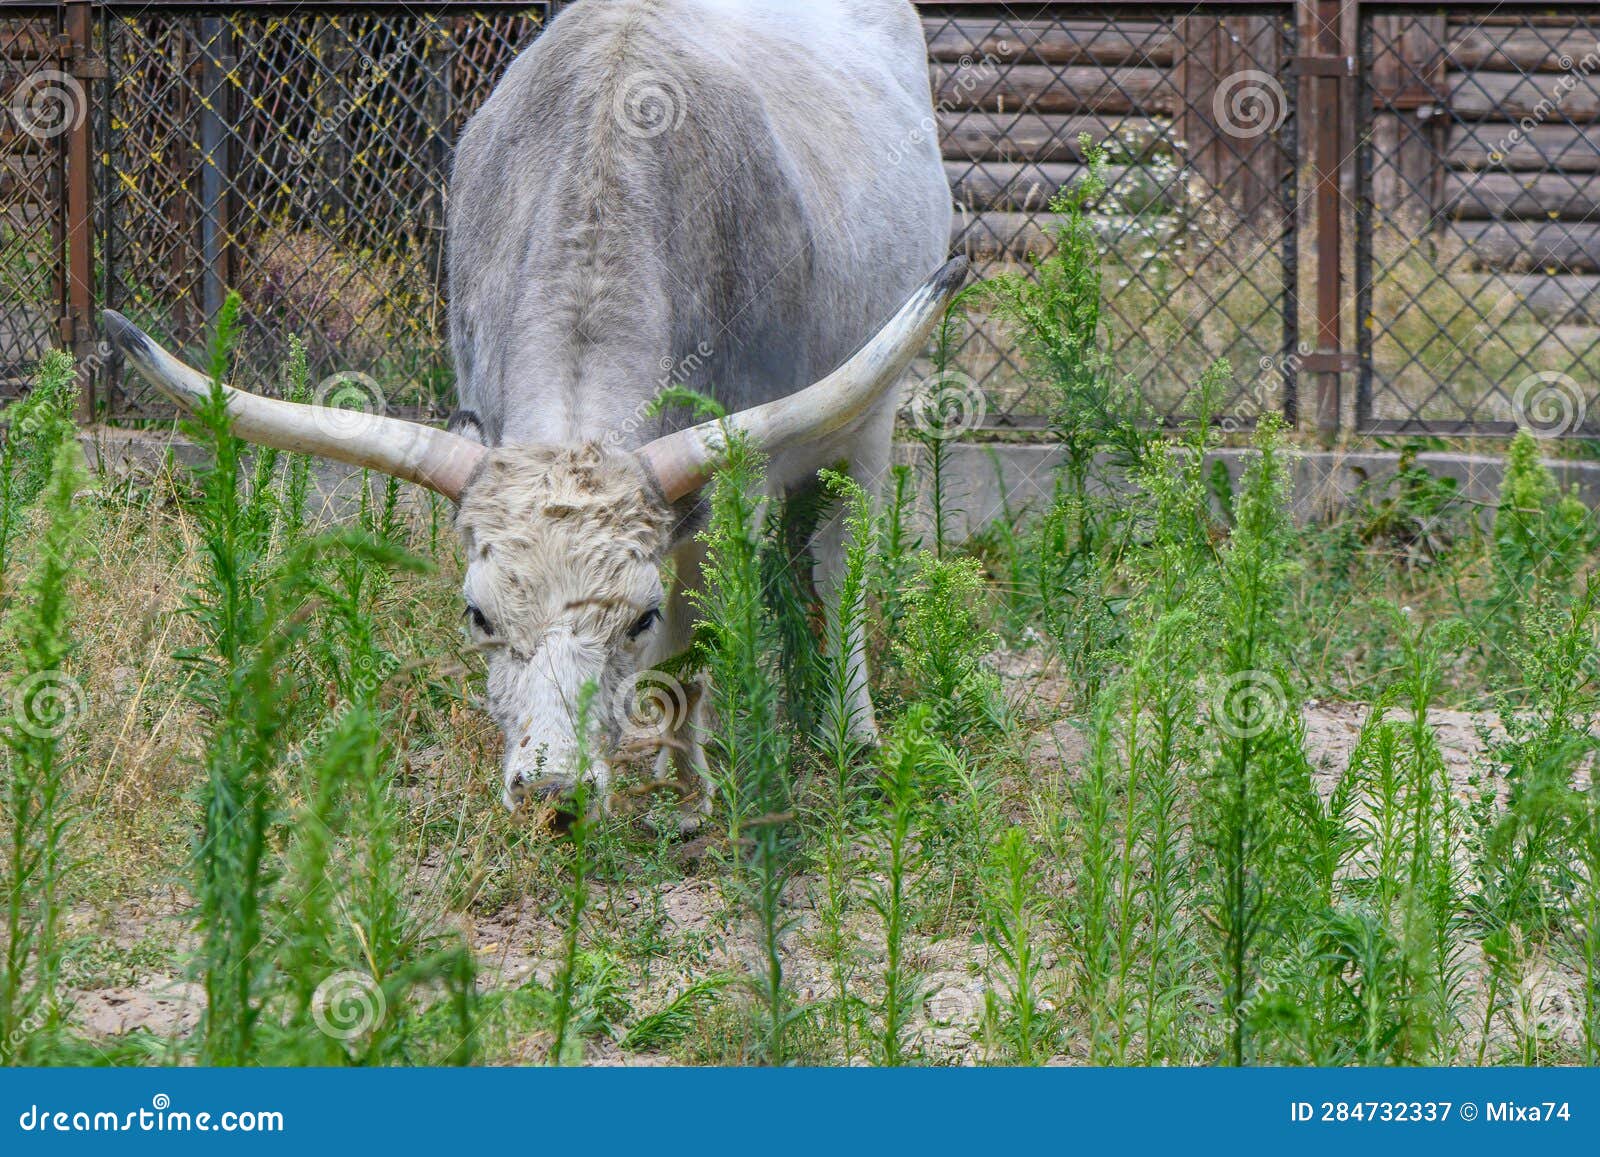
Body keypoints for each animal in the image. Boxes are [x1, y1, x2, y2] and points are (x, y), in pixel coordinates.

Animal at [101, 0, 961, 827]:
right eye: (478, 615)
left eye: (637, 618)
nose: (555, 791)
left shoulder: (733, 485)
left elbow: (697, 630)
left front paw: (689, 787)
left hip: (870, 420)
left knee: (839, 566)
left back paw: (852, 734)